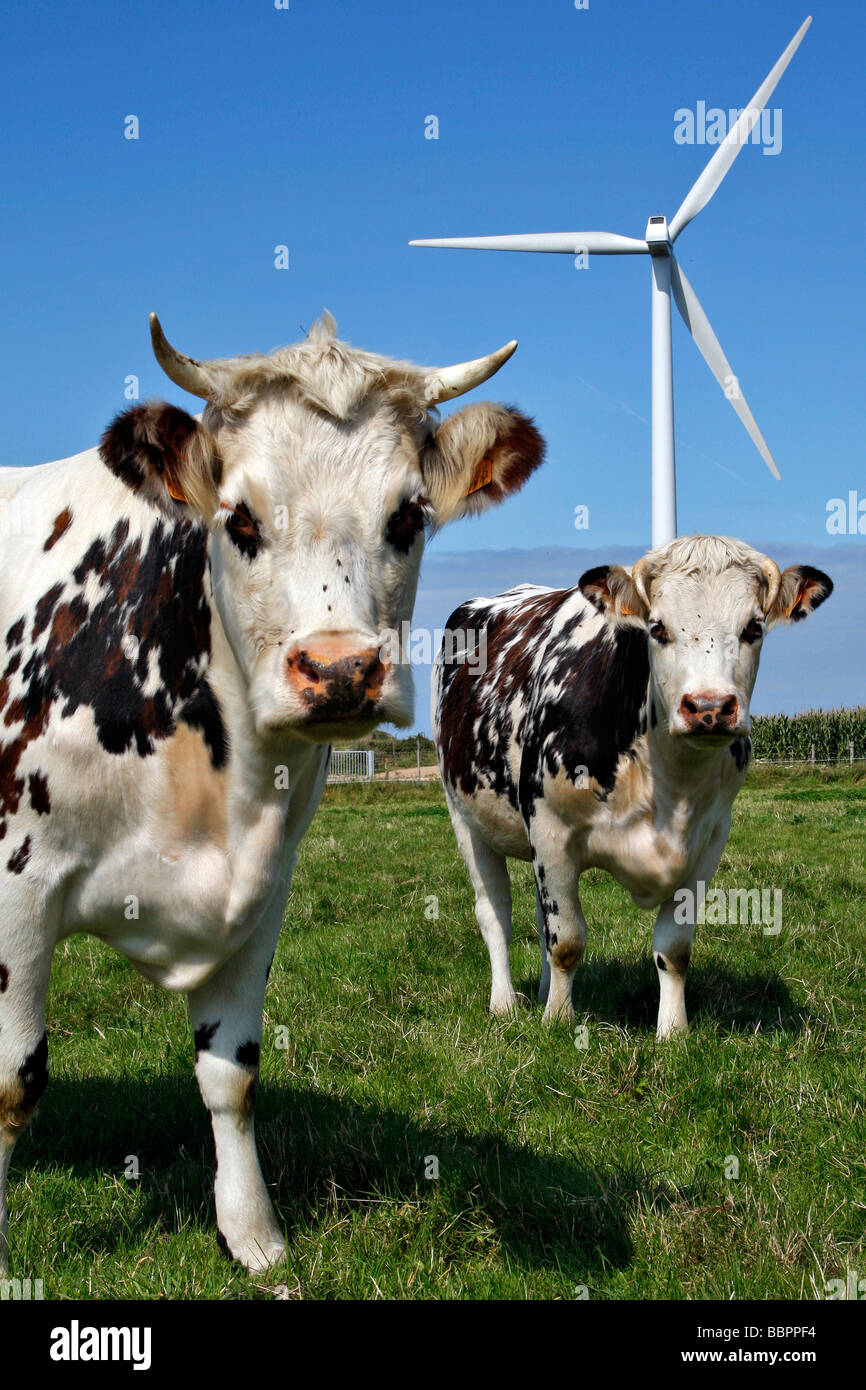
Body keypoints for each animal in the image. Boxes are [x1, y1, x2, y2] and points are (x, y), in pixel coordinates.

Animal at [0, 312, 544, 1273]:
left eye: (409, 514)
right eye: (241, 516)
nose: (340, 671)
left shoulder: (264, 889)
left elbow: (233, 1075)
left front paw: (253, 1234)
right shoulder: (17, 885)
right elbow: (13, 1084)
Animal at [433, 534, 832, 1039]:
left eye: (753, 628)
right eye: (657, 628)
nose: (709, 707)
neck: (668, 784)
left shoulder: (708, 842)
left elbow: (674, 950)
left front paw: (673, 1031)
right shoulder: (551, 828)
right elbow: (567, 941)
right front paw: (558, 1023)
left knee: (541, 917)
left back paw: (540, 992)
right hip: (464, 817)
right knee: (496, 915)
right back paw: (504, 1003)